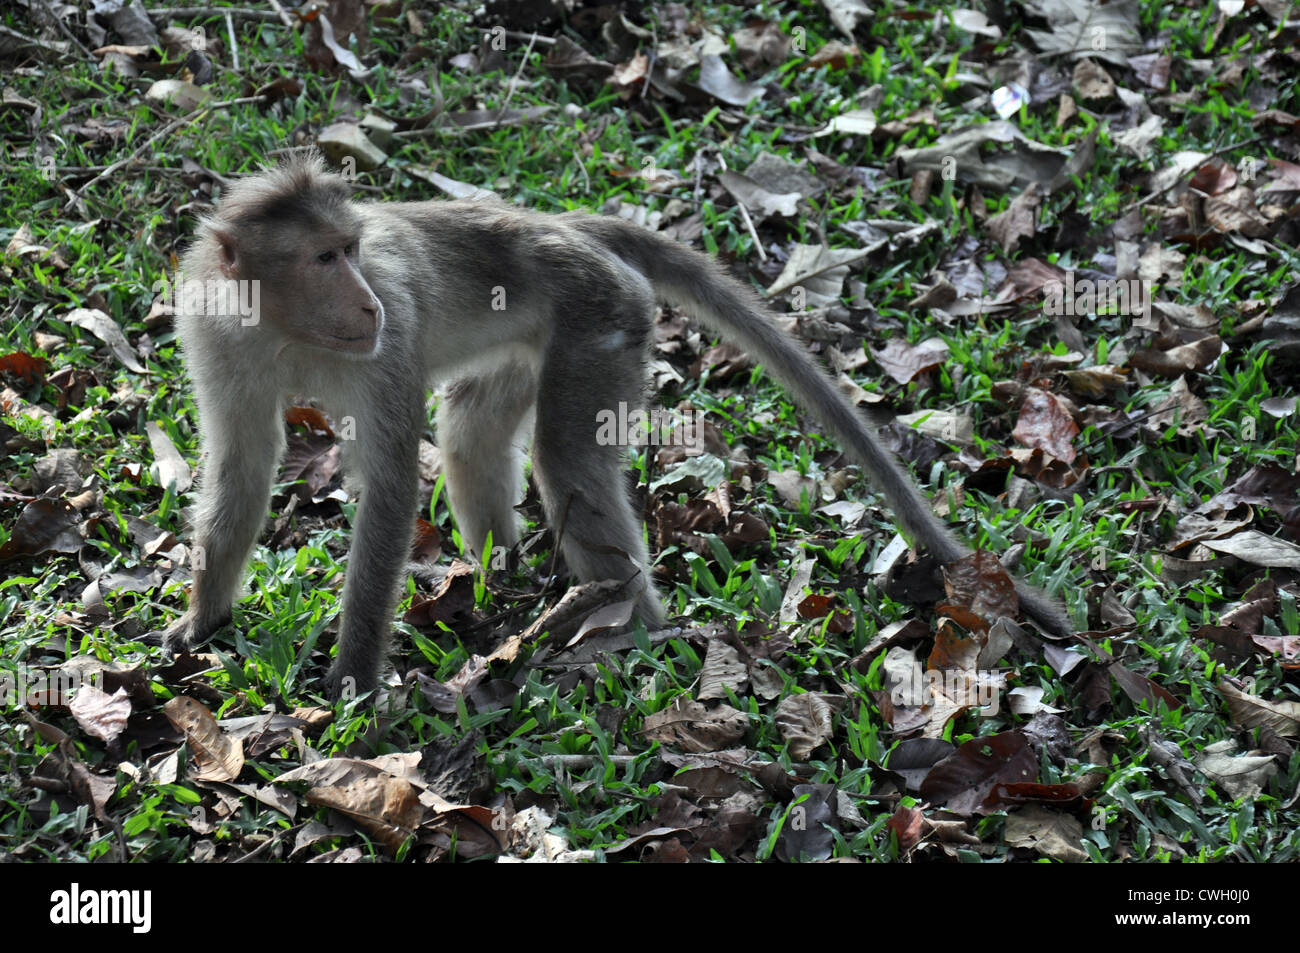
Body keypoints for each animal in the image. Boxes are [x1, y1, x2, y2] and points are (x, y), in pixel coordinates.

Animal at [159, 152, 1071, 699]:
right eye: (323, 258)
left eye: (352, 249)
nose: (368, 303)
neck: (287, 329)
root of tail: (564, 226)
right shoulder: (213, 330)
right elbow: (241, 466)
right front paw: (204, 622)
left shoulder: (386, 345)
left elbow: (386, 488)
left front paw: (352, 678)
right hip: (542, 334)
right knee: (474, 436)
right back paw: (504, 583)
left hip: (604, 316)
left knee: (566, 457)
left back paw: (632, 630)